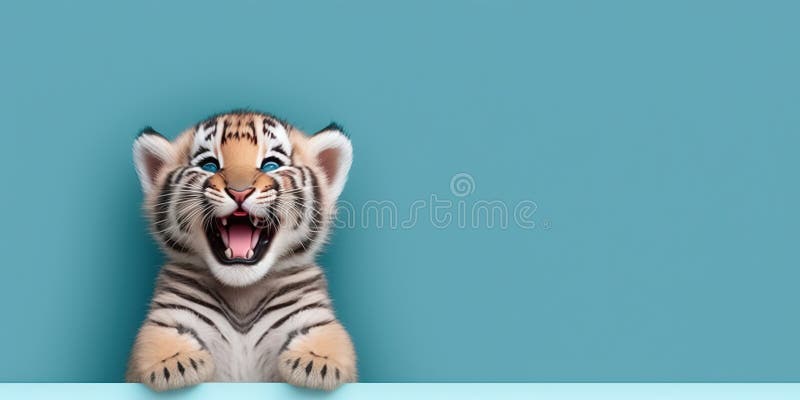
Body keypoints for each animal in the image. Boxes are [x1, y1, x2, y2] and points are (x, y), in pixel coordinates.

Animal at [126, 110, 356, 391]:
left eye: (270, 165)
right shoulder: (168, 314)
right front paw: (173, 363)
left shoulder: (312, 315)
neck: (242, 293)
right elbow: (155, 340)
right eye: (209, 166)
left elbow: (329, 338)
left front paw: (317, 362)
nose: (239, 191)